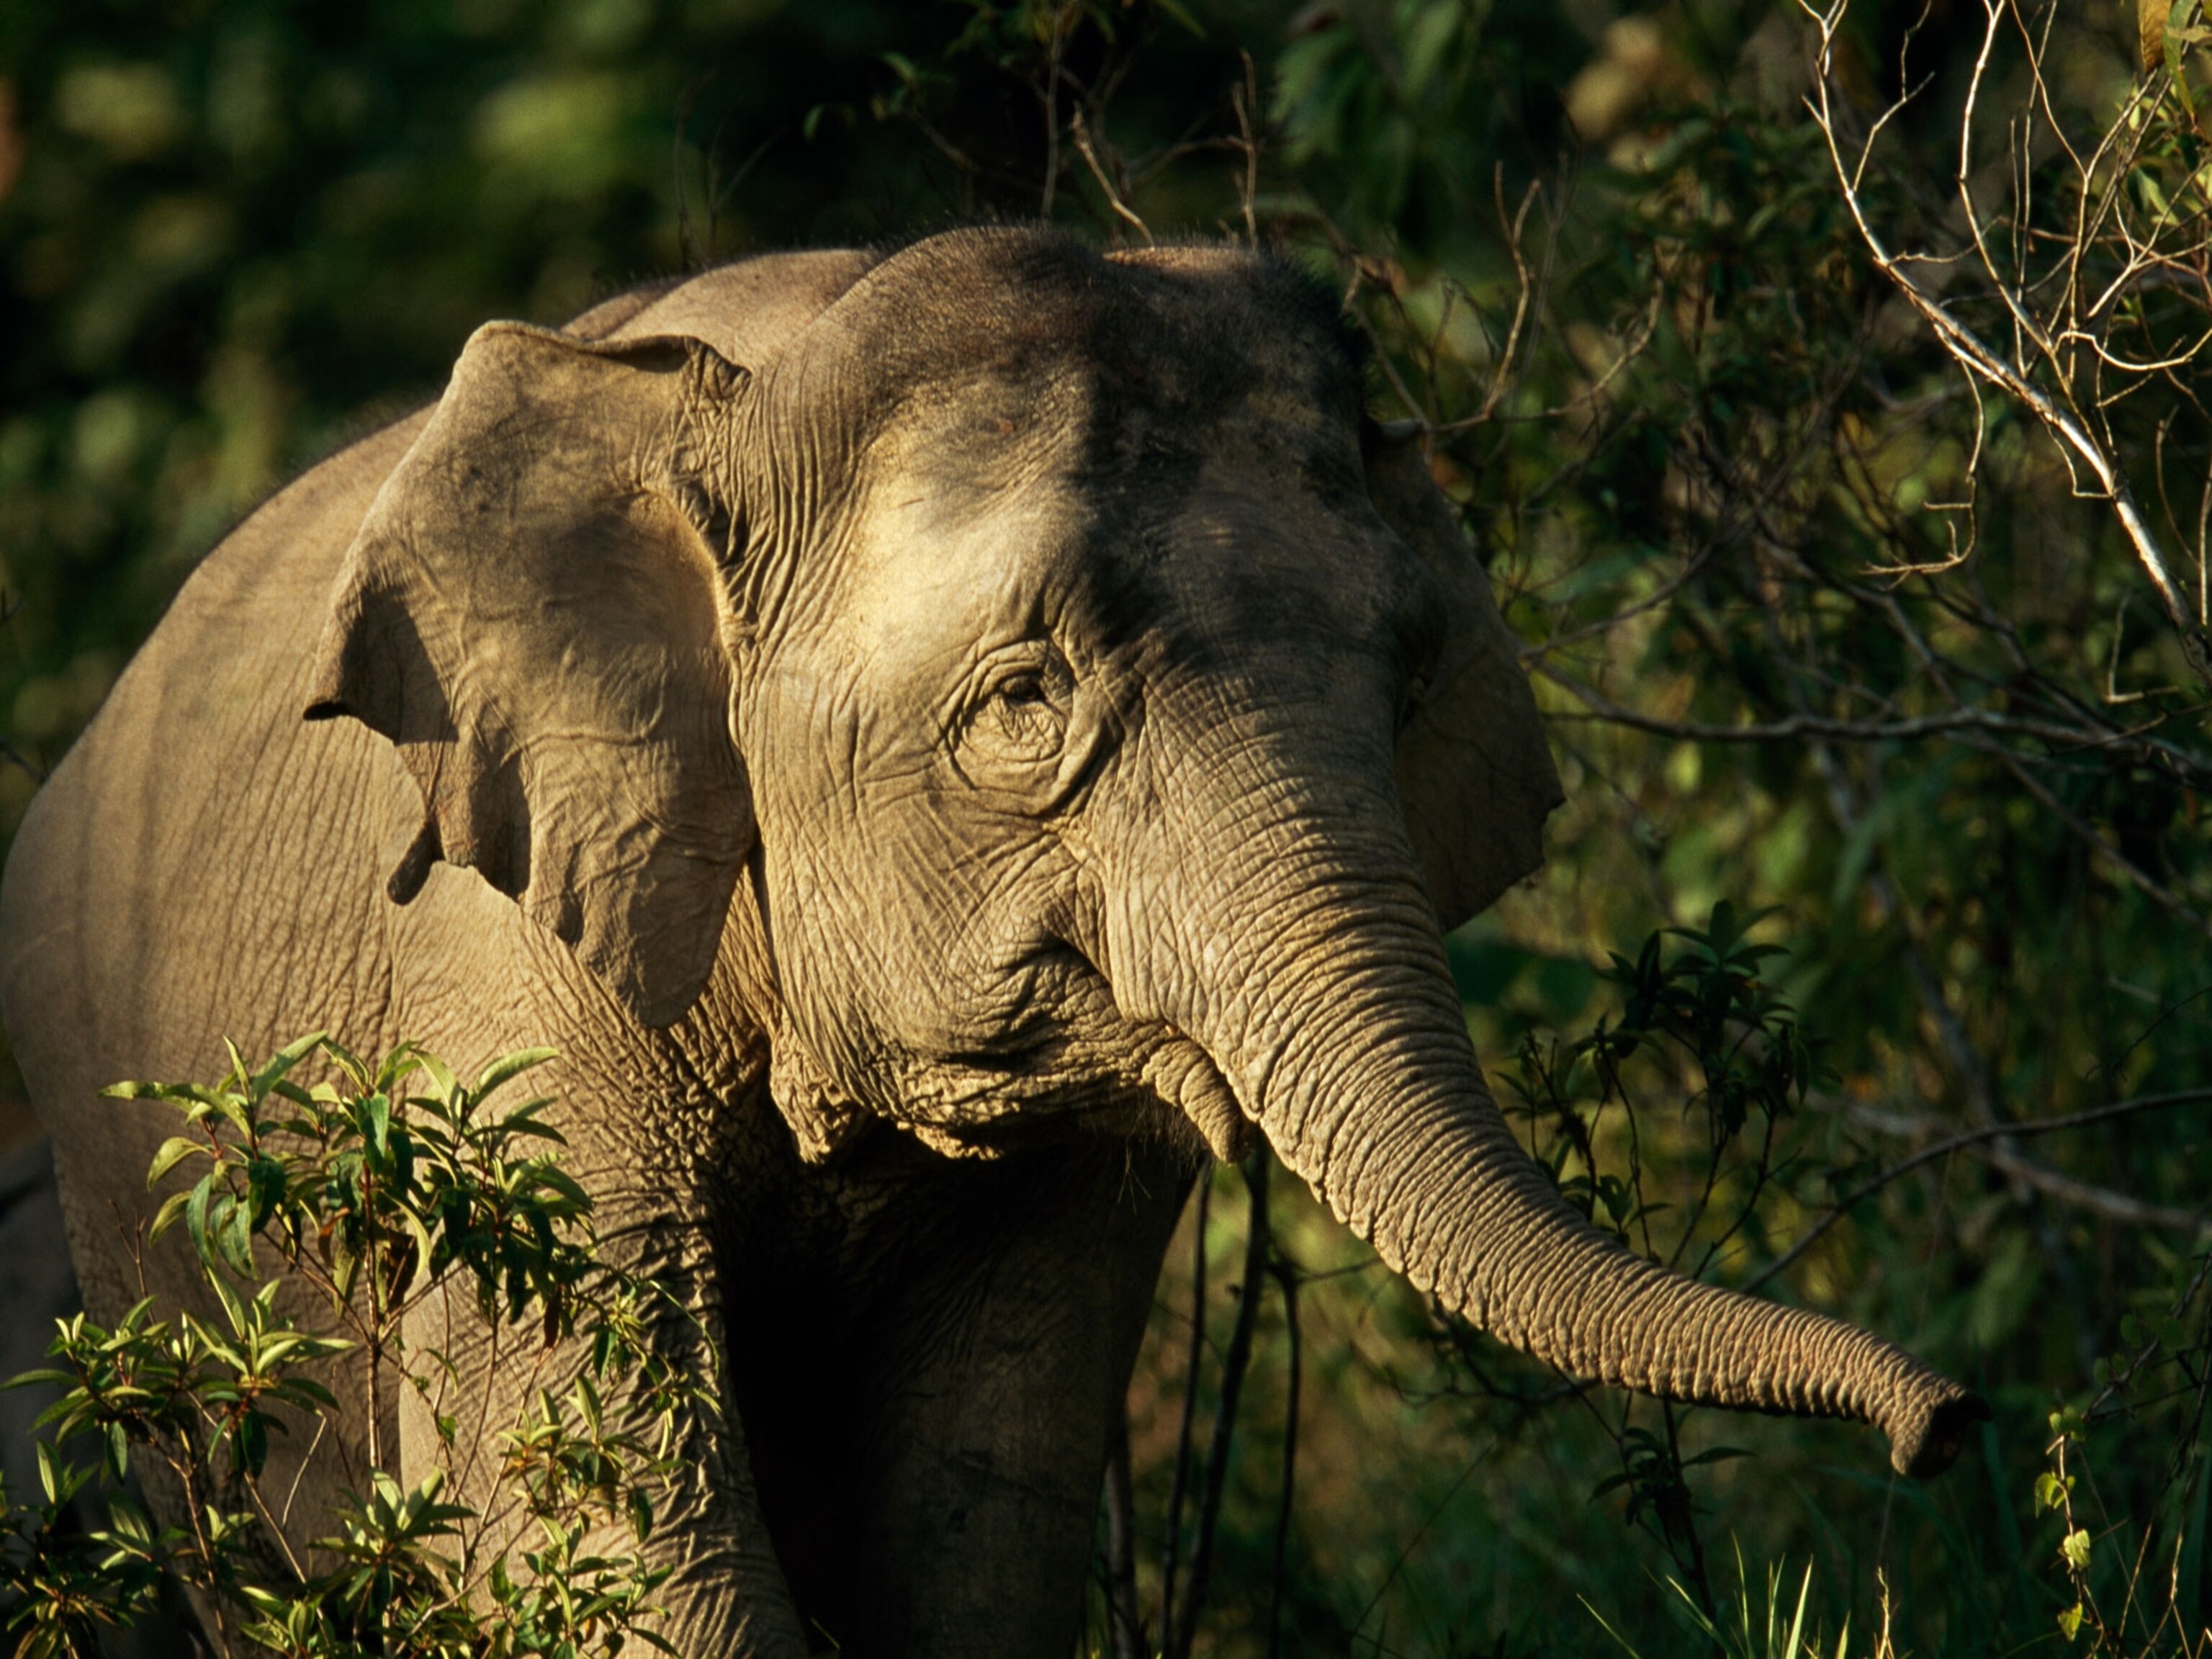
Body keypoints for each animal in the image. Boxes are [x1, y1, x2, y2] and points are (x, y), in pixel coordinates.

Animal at [0, 226, 1985, 1656]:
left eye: (1410, 675)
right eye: (1022, 700)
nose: (1947, 1421)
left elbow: (977, 1502)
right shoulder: (505, 987)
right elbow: (595, 1502)